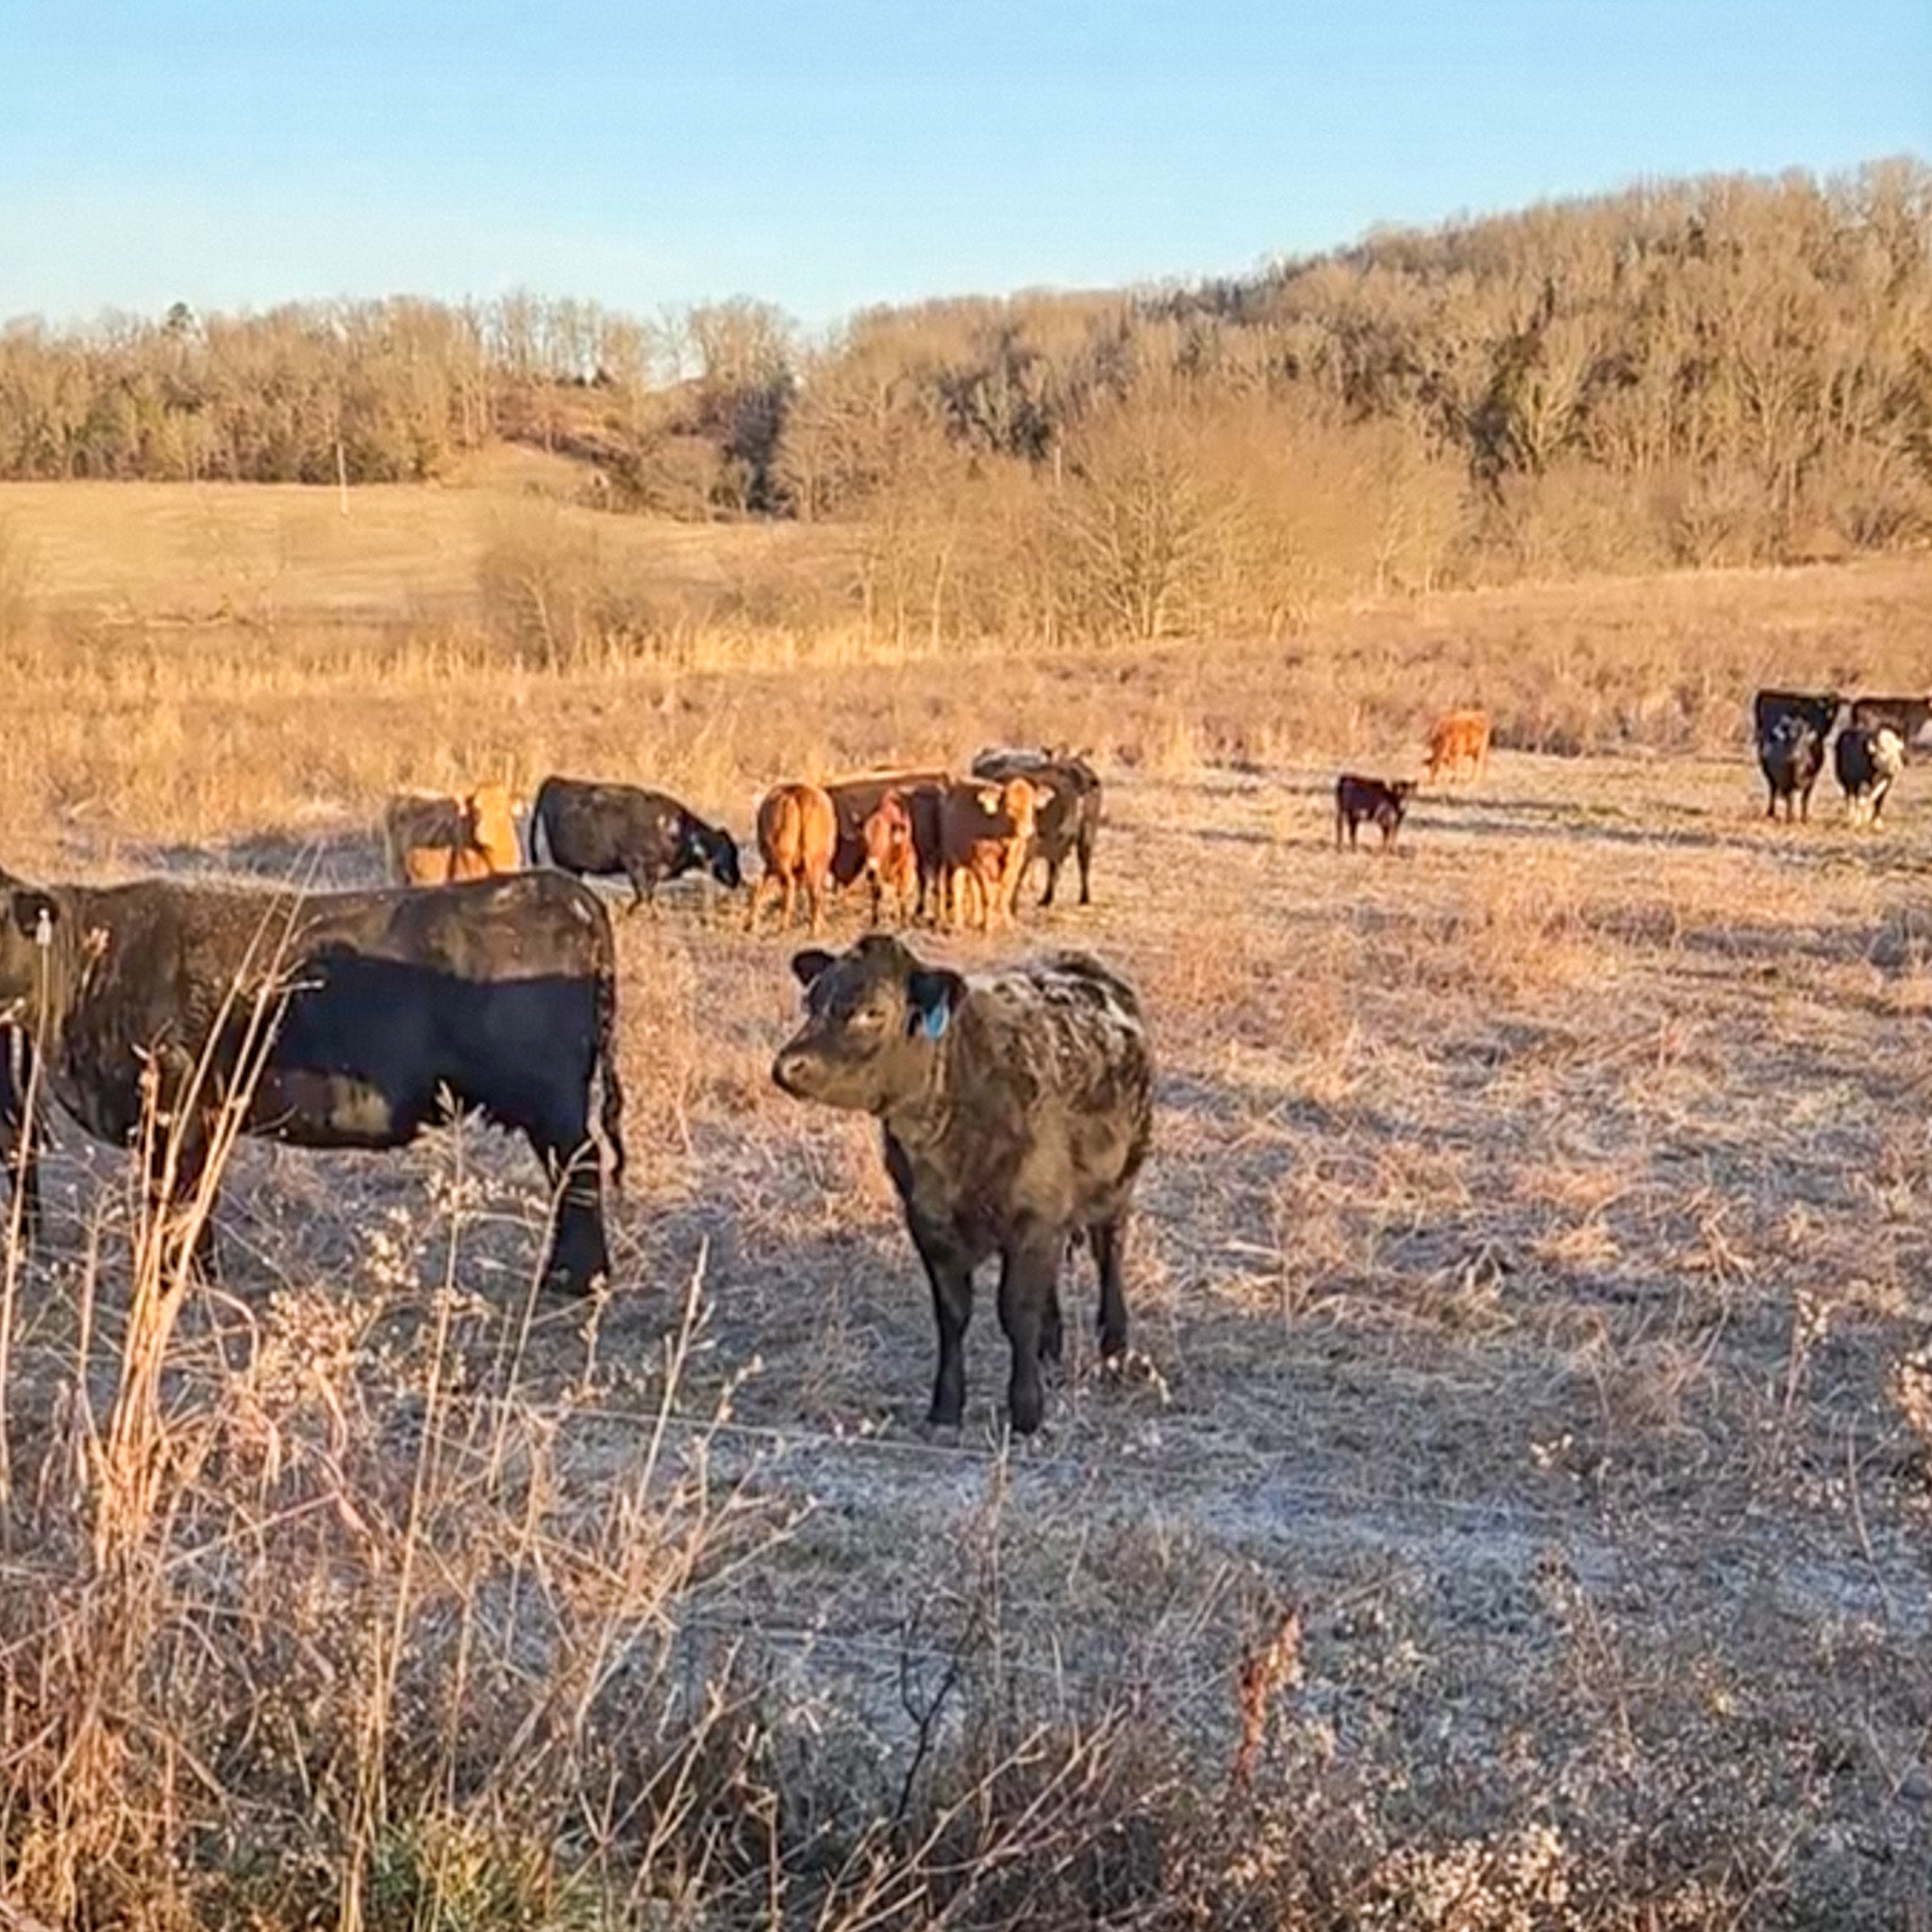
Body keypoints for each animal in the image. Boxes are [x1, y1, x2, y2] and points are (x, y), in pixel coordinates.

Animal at [0, 870, 624, 1294]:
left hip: (553, 1107)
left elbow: (177, 1202)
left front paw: (174, 1277)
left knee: (579, 1172)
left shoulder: (176, 1115)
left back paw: (574, 1278)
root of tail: (563, 889)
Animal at [529, 776, 742, 912]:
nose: (736, 879)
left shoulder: (652, 872)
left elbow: (646, 895)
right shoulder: (634, 864)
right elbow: (642, 895)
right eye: (728, 852)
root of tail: (555, 782)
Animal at [749, 783, 839, 936]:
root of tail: (796, 794)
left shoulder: (770, 864)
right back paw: (813, 928)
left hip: (780, 859)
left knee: (784, 884)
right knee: (812, 890)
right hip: (813, 859)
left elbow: (762, 886)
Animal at [772, 936, 1153, 1437]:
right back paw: (1050, 1350)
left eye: (872, 1011)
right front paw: (946, 1406)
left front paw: (1026, 1411)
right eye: (810, 1002)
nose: (786, 1066)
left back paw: (1114, 1351)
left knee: (1110, 1255)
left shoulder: (1031, 1220)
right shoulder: (931, 1224)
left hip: (1117, 1185)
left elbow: (1017, 1310)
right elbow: (953, 1315)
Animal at [938, 778, 1038, 933]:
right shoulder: (981, 864)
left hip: (969, 863)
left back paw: (976, 919)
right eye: (1008, 806)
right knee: (957, 886)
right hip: (954, 858)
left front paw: (1008, 923)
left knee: (973, 888)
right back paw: (959, 924)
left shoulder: (1015, 864)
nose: (1026, 829)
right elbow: (988, 896)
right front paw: (988, 926)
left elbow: (1005, 894)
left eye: (1032, 805)